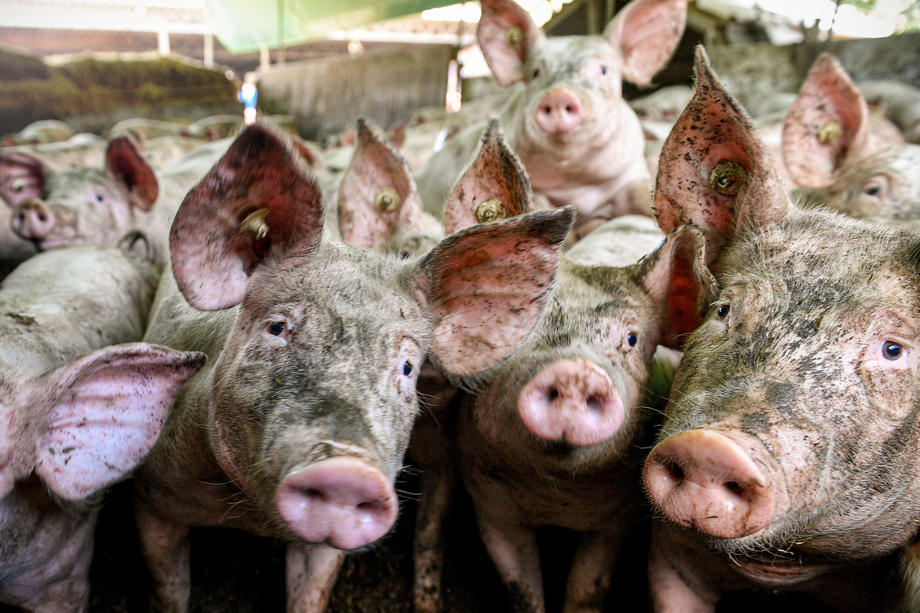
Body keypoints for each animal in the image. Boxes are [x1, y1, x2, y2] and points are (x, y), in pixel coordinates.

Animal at [133, 121, 574, 612]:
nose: (348, 469)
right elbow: (168, 589)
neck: (250, 517)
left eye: (406, 367)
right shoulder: (152, 496)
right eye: (278, 327)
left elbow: (315, 592)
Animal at [415, 0, 687, 238]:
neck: (576, 184)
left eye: (603, 70)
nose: (557, 95)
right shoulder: (535, 190)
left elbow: (645, 196)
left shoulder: (630, 174)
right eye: (536, 73)